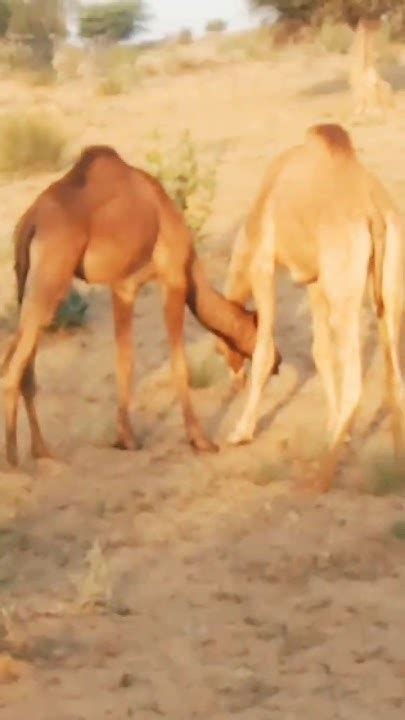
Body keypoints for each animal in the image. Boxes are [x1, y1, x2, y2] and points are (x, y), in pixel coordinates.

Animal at [1, 145, 283, 467]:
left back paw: (42, 451)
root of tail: (30, 221)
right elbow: (179, 363)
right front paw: (200, 440)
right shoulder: (173, 278)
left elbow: (125, 360)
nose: (279, 360)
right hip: (52, 279)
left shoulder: (123, 287)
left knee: (24, 365)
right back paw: (13, 459)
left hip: (28, 283)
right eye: (260, 332)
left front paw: (125, 438)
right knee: (13, 366)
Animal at [217, 123, 405, 490]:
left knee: (355, 385)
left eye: (222, 347)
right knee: (395, 379)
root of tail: (375, 211)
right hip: (389, 290)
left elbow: (264, 351)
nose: (234, 379)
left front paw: (240, 432)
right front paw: (333, 426)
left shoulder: (263, 262)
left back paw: (321, 475)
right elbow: (321, 352)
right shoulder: (315, 280)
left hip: (345, 290)